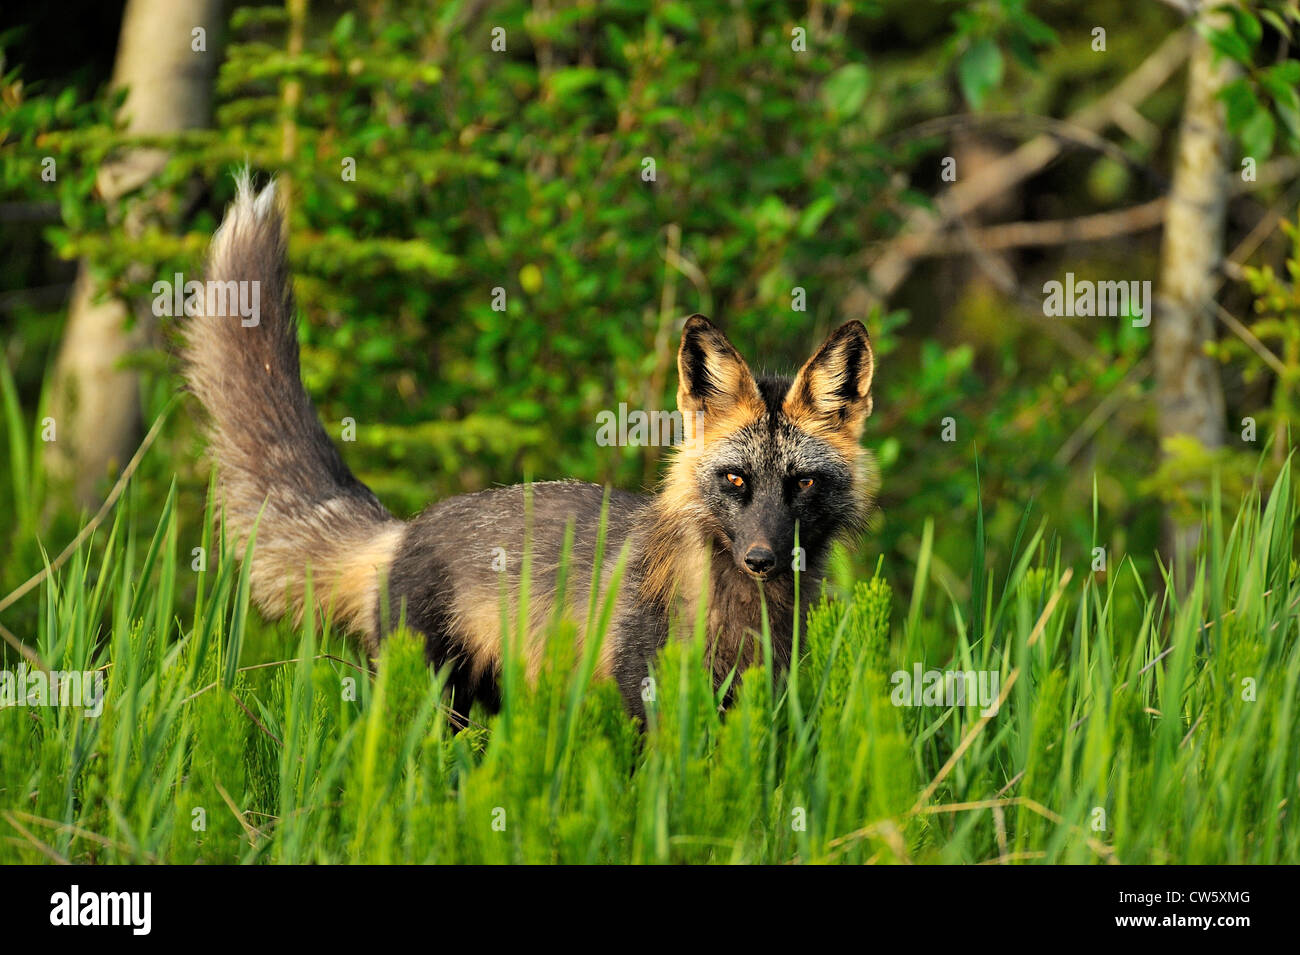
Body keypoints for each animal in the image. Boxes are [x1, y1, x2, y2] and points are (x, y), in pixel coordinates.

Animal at [182, 174, 879, 721]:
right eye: (735, 480)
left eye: (803, 483)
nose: (763, 558)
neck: (738, 618)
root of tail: (405, 530)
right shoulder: (641, 700)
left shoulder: (767, 704)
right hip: (432, 706)